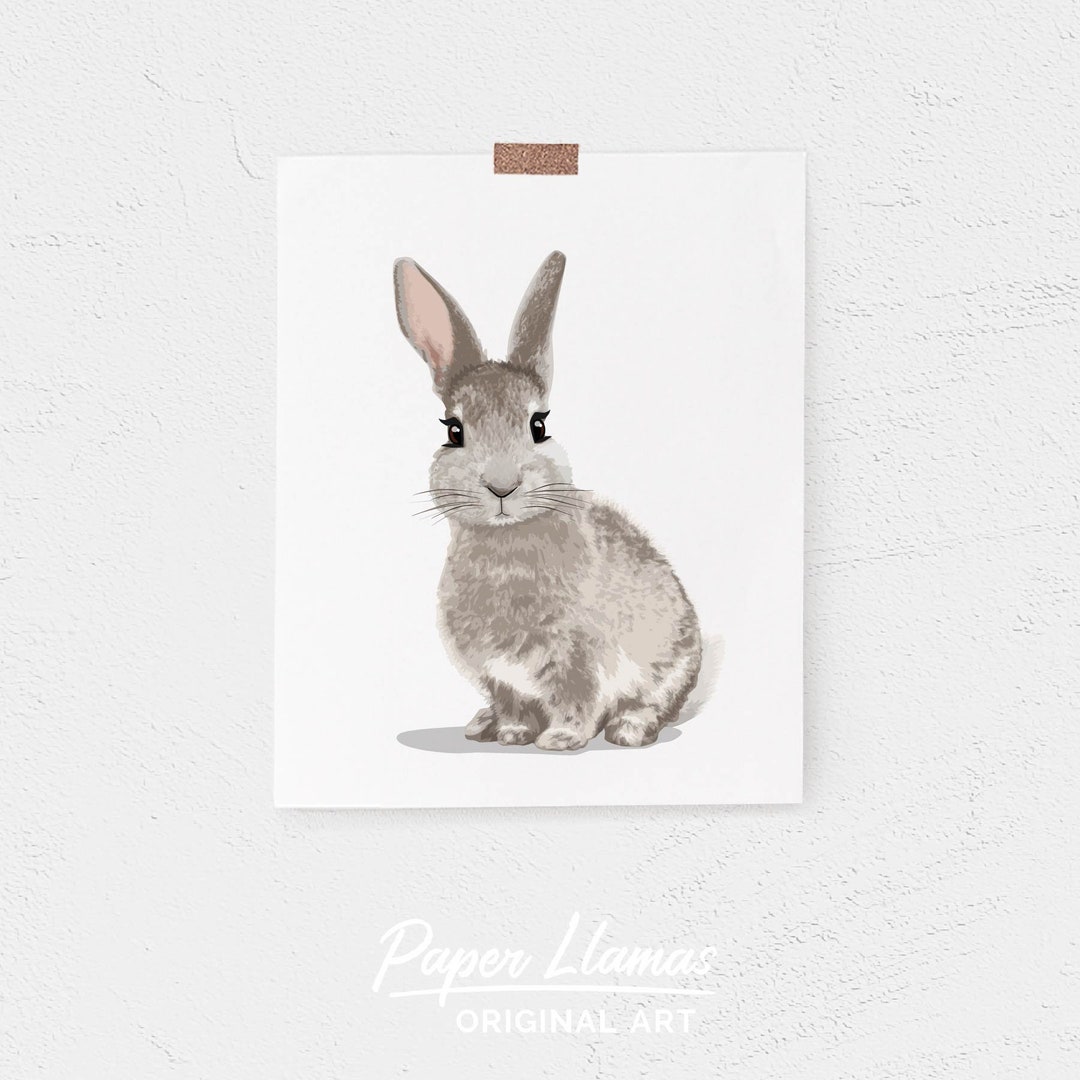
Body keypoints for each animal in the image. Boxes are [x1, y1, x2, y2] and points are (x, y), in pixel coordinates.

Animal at [393, 251, 702, 750]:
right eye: (453, 431)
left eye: (539, 426)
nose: (502, 486)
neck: (506, 543)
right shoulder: (499, 675)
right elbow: (513, 703)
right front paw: (514, 733)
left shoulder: (577, 657)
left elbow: (577, 697)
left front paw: (560, 739)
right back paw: (482, 724)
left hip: (669, 663)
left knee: (656, 702)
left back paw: (629, 729)